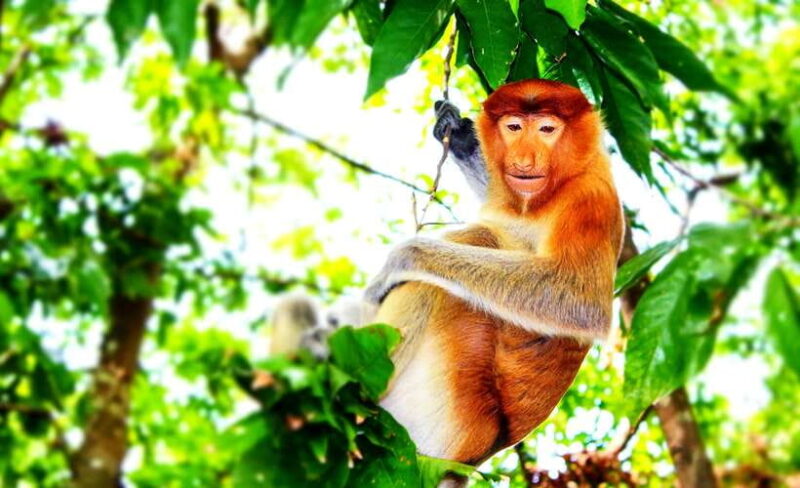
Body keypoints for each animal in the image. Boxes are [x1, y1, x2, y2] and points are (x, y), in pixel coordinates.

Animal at [363, 79, 624, 476]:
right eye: (513, 127)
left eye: (547, 129)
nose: (525, 159)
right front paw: (457, 132)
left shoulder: (587, 204)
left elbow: (582, 304)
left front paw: (402, 257)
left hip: (448, 409)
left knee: (474, 242)